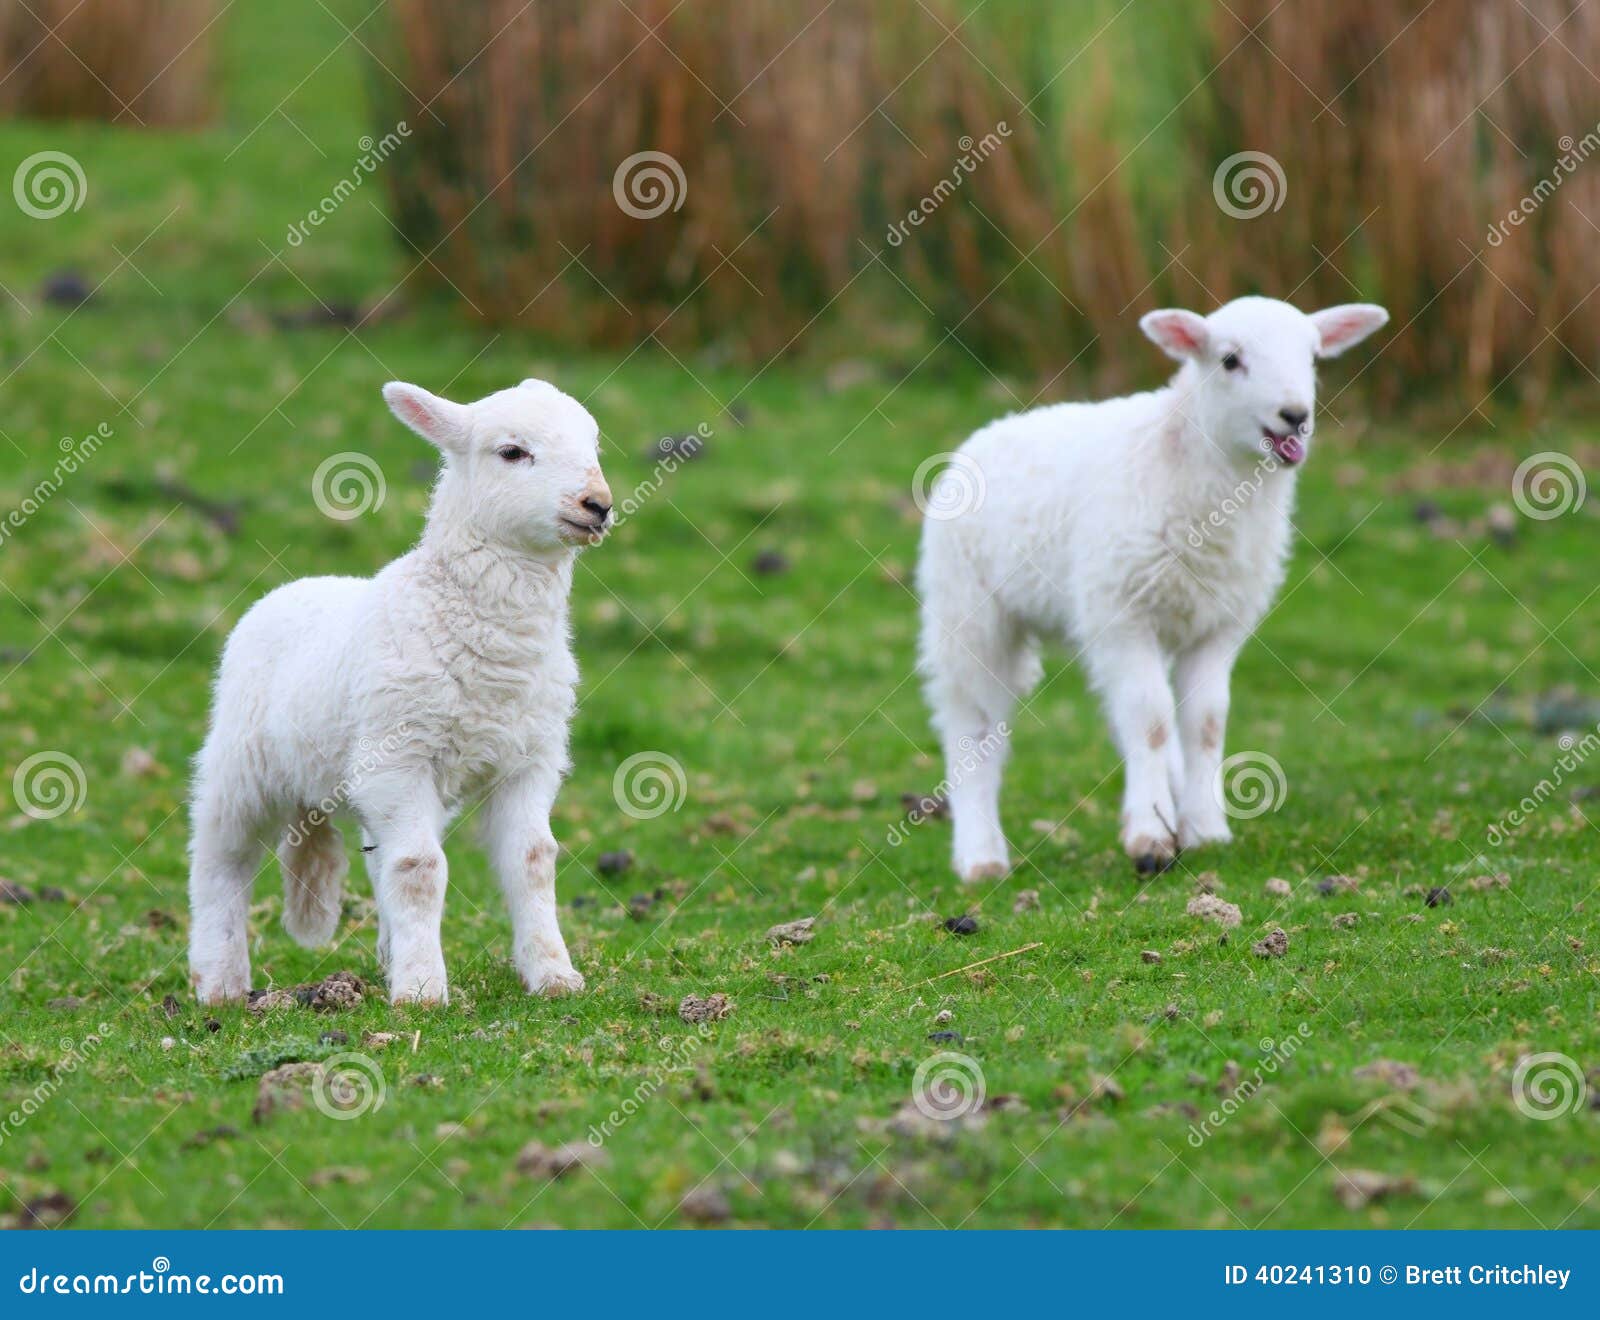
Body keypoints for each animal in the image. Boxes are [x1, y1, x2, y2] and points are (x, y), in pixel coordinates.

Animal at [188, 378, 614, 1005]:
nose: (598, 503)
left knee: (376, 857)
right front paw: (421, 992)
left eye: (594, 445)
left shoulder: (529, 760)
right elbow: (419, 870)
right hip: (243, 763)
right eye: (512, 452)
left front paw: (555, 976)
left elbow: (533, 860)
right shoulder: (401, 758)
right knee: (222, 858)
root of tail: (296, 586)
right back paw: (219, 981)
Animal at [916, 296, 1388, 880]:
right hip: (967, 608)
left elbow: (1204, 720)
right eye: (1229, 360)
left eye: (1314, 356)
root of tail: (990, 430)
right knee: (972, 724)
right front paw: (1151, 837)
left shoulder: (1219, 622)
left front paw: (1204, 829)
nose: (1295, 416)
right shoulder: (1122, 613)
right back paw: (980, 855)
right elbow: (1151, 721)